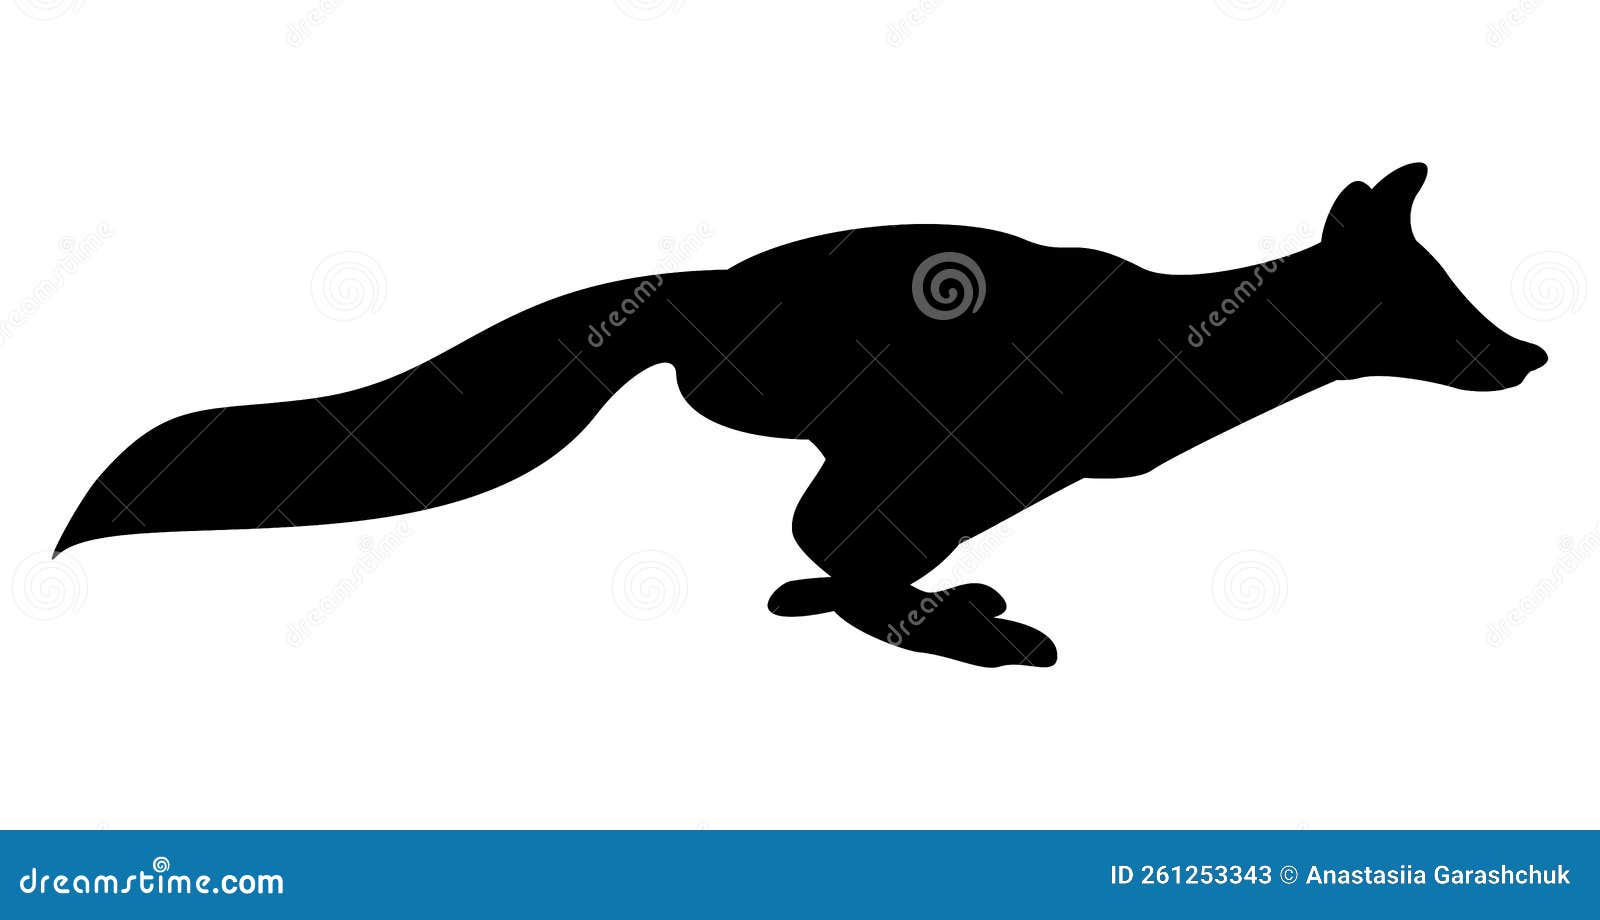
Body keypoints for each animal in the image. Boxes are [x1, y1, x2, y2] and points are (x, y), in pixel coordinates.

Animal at [56, 163, 1547, 667]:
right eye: (1431, 307)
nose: (1527, 355)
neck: (1183, 339)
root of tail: (698, 299)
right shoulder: (969, 452)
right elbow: (838, 538)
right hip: (921, 444)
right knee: (832, 541)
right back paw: (952, 625)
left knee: (822, 547)